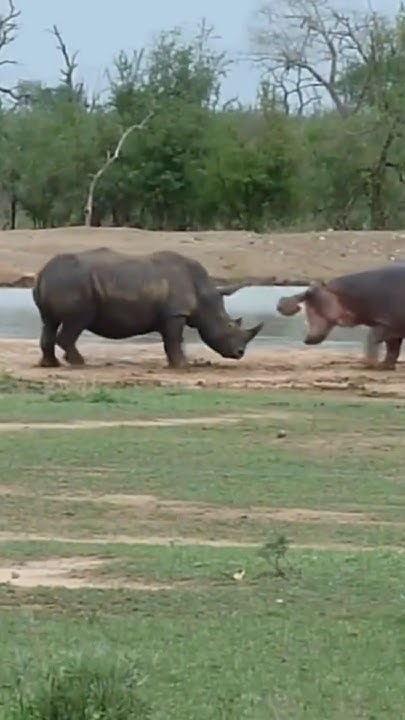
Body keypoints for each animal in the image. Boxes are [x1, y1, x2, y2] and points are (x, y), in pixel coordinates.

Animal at [32, 247, 263, 369]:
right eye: (230, 326)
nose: (240, 353)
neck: (205, 294)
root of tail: (43, 273)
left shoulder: (170, 315)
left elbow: (171, 341)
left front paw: (177, 364)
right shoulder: (175, 313)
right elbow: (173, 340)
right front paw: (182, 366)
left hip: (62, 282)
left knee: (48, 322)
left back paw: (50, 365)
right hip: (74, 284)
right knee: (76, 322)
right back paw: (80, 363)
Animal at [277, 263, 405, 370]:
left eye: (311, 308)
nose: (306, 339)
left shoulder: (390, 325)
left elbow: (372, 338)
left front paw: (370, 364)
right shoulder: (390, 327)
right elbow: (392, 349)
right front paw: (385, 366)